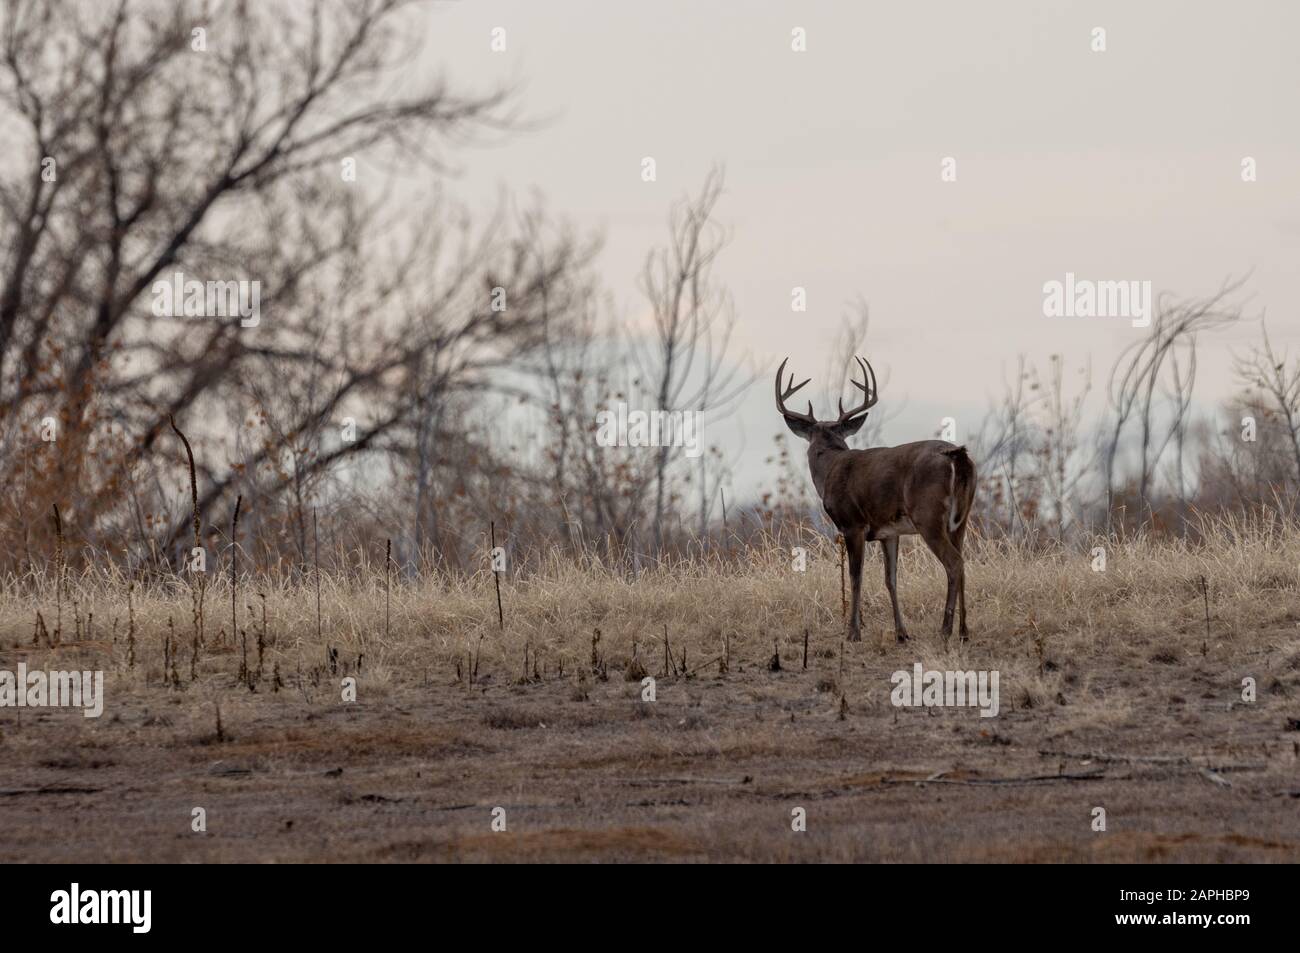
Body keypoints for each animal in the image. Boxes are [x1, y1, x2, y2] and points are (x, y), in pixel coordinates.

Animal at [775, 356, 976, 643]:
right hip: (961, 519)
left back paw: (945, 630)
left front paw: (853, 632)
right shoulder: (889, 532)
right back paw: (963, 631)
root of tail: (957, 456)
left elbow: (855, 576)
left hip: (928, 516)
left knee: (954, 562)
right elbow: (890, 579)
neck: (830, 468)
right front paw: (901, 633)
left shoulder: (852, 524)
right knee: (963, 563)